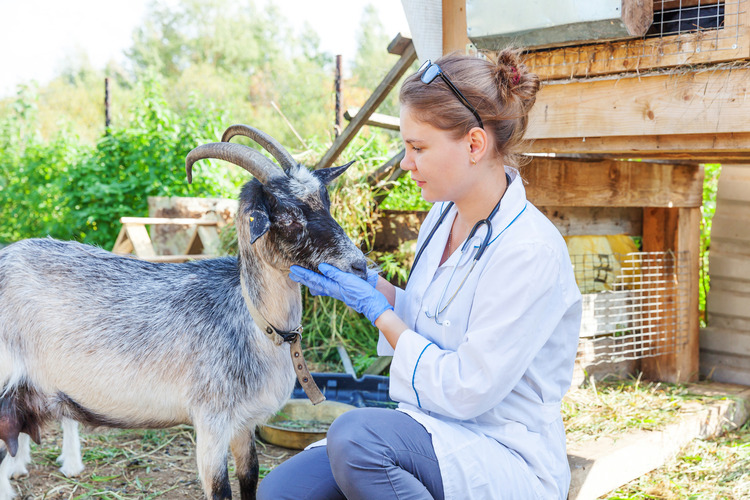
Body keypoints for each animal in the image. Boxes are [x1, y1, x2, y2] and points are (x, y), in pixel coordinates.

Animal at [0, 124, 369, 500]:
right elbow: (220, 489)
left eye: (325, 203)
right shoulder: (211, 421)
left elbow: (250, 475)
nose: (359, 266)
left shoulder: (244, 423)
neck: (256, 323)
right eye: (286, 215)